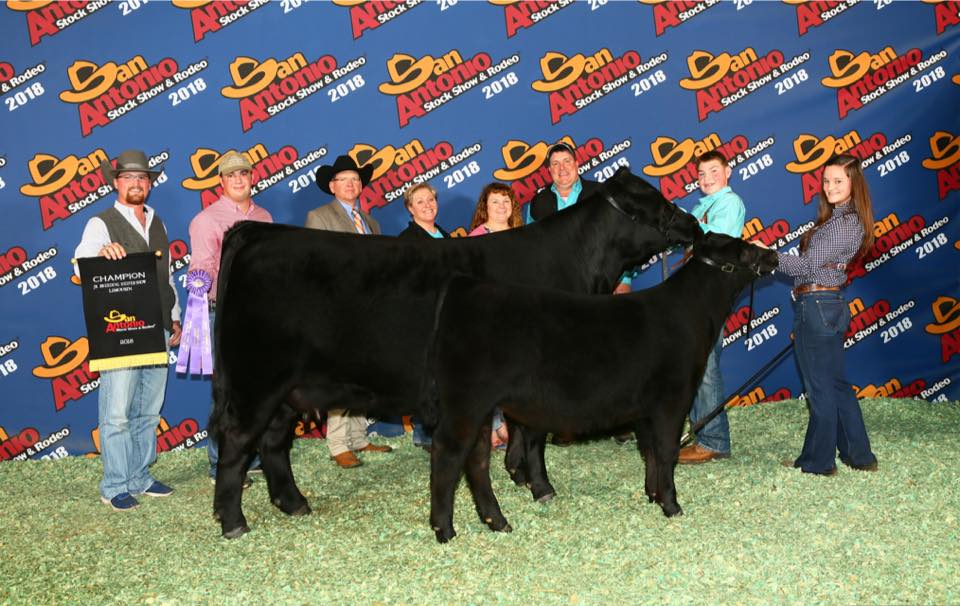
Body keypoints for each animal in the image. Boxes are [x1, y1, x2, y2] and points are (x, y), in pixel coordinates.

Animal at [209, 167, 702, 538]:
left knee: (273, 442)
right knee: (237, 441)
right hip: (258, 380)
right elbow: (534, 433)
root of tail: (258, 233)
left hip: (289, 388)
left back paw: (294, 503)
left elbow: (518, 431)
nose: (693, 224)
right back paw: (234, 522)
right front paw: (540, 486)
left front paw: (516, 474)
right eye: (652, 201)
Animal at [422, 232, 778, 542]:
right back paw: (445, 530)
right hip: (465, 402)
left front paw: (652, 495)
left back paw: (497, 522)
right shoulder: (672, 399)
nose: (774, 255)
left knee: (476, 460)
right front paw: (672, 505)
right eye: (745, 250)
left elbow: (649, 451)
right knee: (448, 454)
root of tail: (464, 287)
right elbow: (666, 451)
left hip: (480, 409)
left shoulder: (645, 408)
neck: (689, 313)